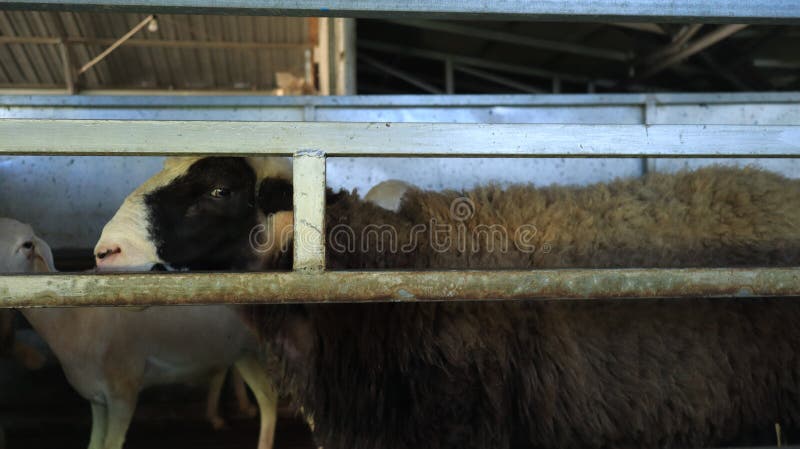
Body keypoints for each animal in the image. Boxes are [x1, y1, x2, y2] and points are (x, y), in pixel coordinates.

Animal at [0, 217, 278, 449]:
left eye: (27, 245)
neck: (72, 317)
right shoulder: (96, 397)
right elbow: (95, 445)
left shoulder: (123, 393)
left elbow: (111, 445)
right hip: (240, 351)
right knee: (258, 392)